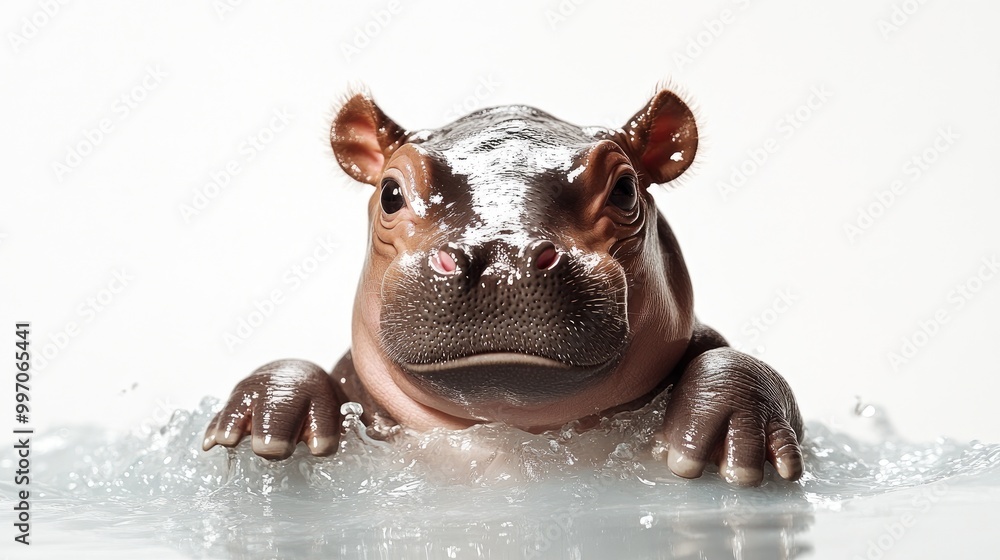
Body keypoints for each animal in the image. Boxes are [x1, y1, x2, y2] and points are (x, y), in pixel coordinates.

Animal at [202, 88, 804, 486]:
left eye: (626, 189)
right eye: (391, 193)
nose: (501, 258)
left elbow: (734, 362)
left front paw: (724, 446)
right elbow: (300, 367)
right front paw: (263, 428)